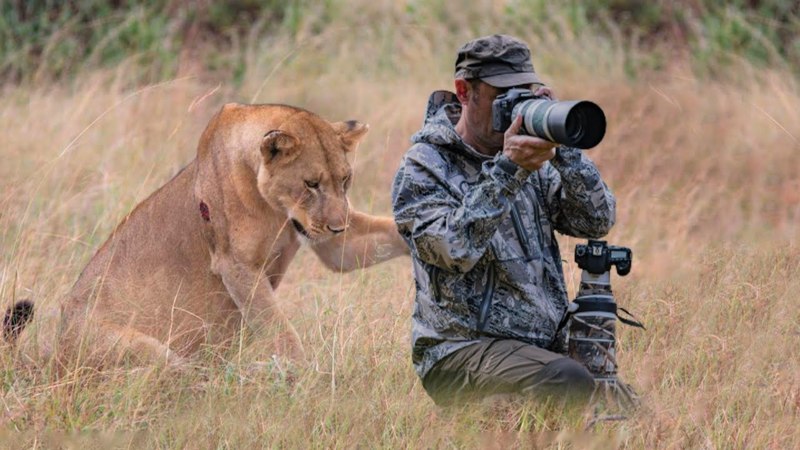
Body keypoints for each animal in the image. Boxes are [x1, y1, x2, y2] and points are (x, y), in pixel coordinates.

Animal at [3, 103, 409, 369]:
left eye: (345, 180)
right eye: (310, 184)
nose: (338, 225)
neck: (274, 208)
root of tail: (54, 355)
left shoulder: (331, 244)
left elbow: (384, 233)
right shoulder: (236, 266)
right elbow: (280, 329)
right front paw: (306, 376)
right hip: (138, 347)